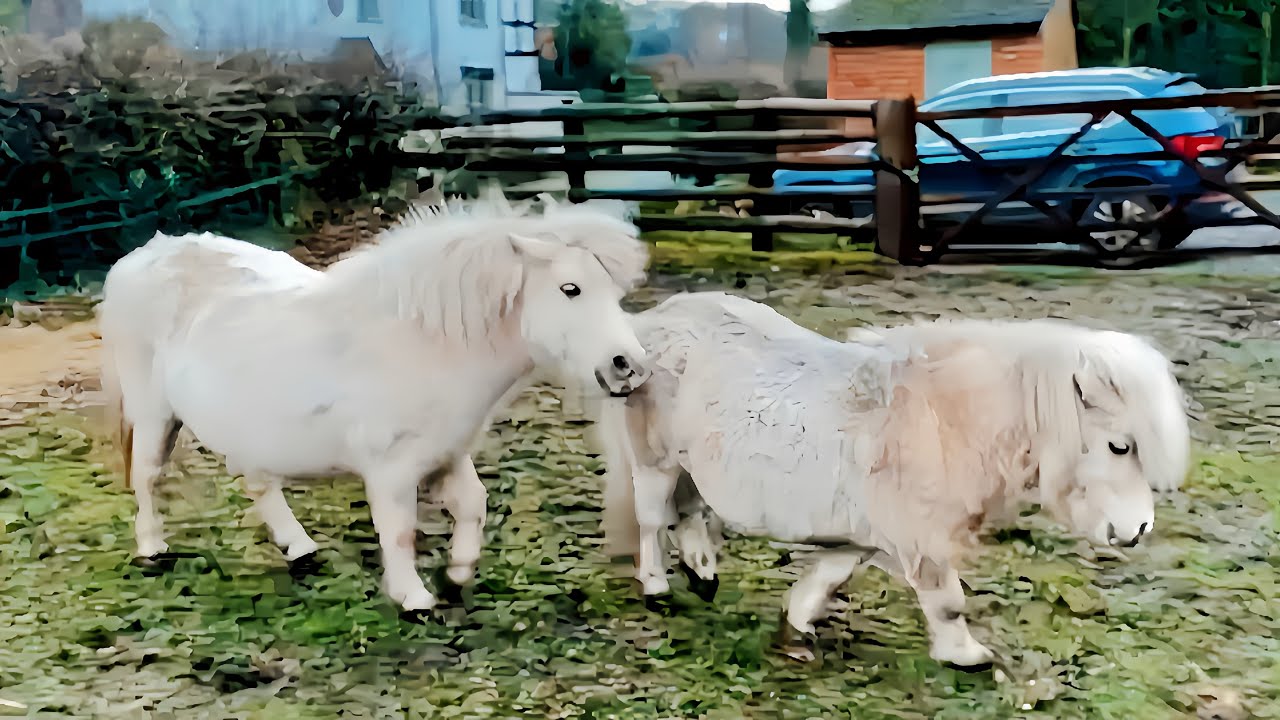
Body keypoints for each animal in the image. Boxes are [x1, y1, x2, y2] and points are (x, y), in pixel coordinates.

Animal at [99, 194, 651, 613]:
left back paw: (300, 549)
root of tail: (139, 258)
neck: (424, 343)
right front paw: (414, 599)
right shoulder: (390, 470)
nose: (629, 366)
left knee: (257, 482)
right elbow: (401, 531)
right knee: (146, 475)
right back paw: (151, 549)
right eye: (570, 288)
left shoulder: (447, 452)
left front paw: (456, 574)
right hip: (154, 412)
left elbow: (473, 506)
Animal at [595, 292, 1190, 667]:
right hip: (654, 459)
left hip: (692, 465)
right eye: (1120, 446)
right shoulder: (921, 537)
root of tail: (651, 326)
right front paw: (966, 656)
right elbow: (946, 600)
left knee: (690, 511)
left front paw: (796, 627)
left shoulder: (871, 531)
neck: (947, 420)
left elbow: (830, 575)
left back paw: (703, 573)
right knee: (652, 519)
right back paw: (657, 588)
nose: (1138, 529)